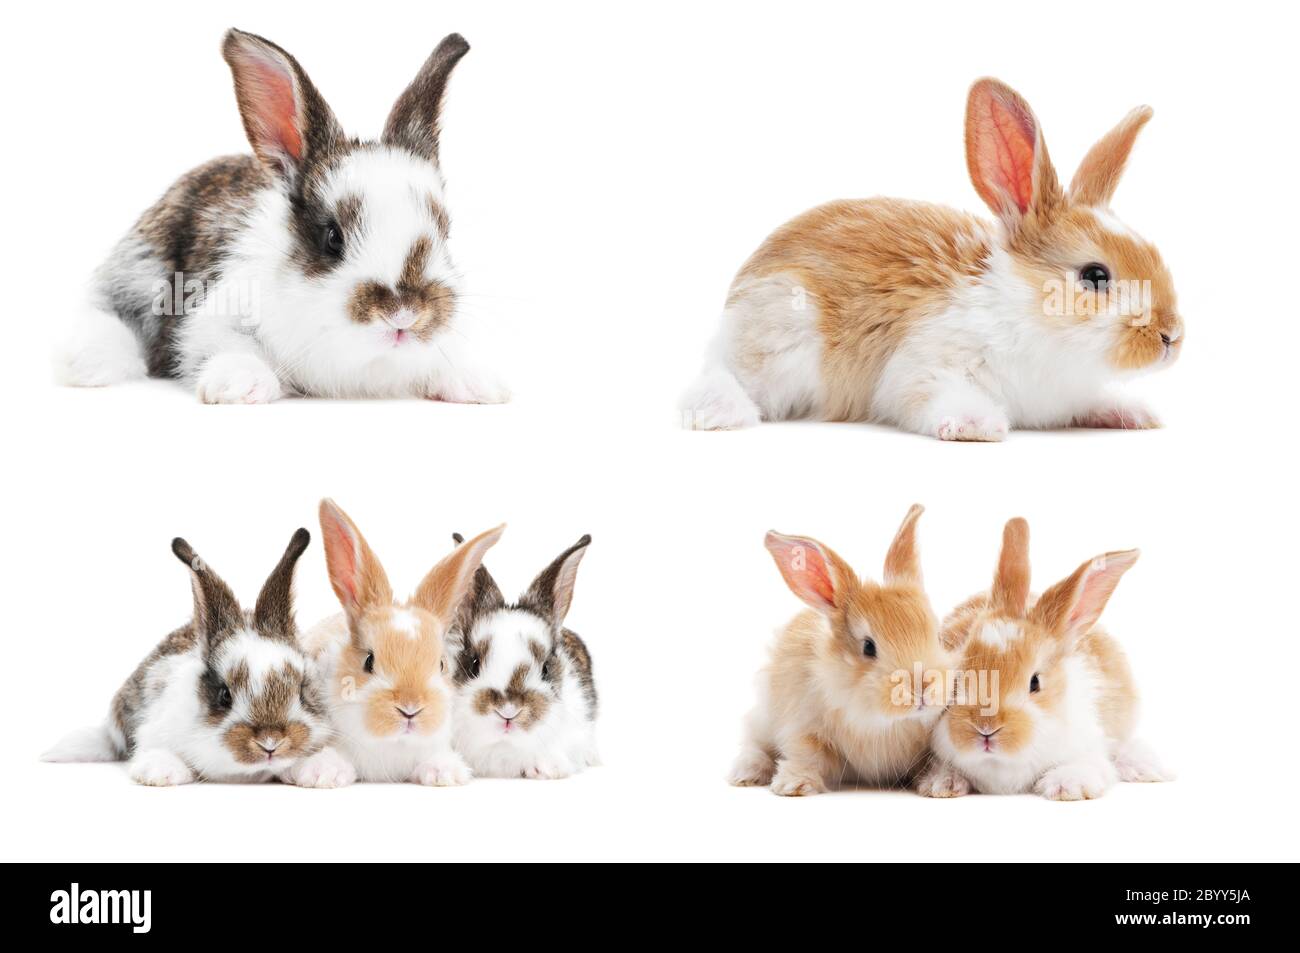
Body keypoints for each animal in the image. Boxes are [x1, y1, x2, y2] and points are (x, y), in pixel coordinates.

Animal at [55, 28, 508, 405]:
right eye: (332, 238)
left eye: (445, 233)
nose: (404, 316)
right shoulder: (214, 318)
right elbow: (225, 346)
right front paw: (239, 385)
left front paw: (478, 385)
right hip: (138, 273)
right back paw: (86, 366)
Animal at [681, 78, 1182, 439]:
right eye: (1095, 275)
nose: (1171, 336)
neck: (1024, 312)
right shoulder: (926, 369)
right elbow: (928, 396)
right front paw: (977, 426)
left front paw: (1135, 414)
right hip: (779, 335)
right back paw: (721, 414)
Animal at [728, 505, 953, 795]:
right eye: (868, 647)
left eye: (938, 636)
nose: (922, 687)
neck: (882, 722)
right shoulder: (804, 726)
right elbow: (806, 754)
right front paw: (794, 784)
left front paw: (942, 785)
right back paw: (747, 773)